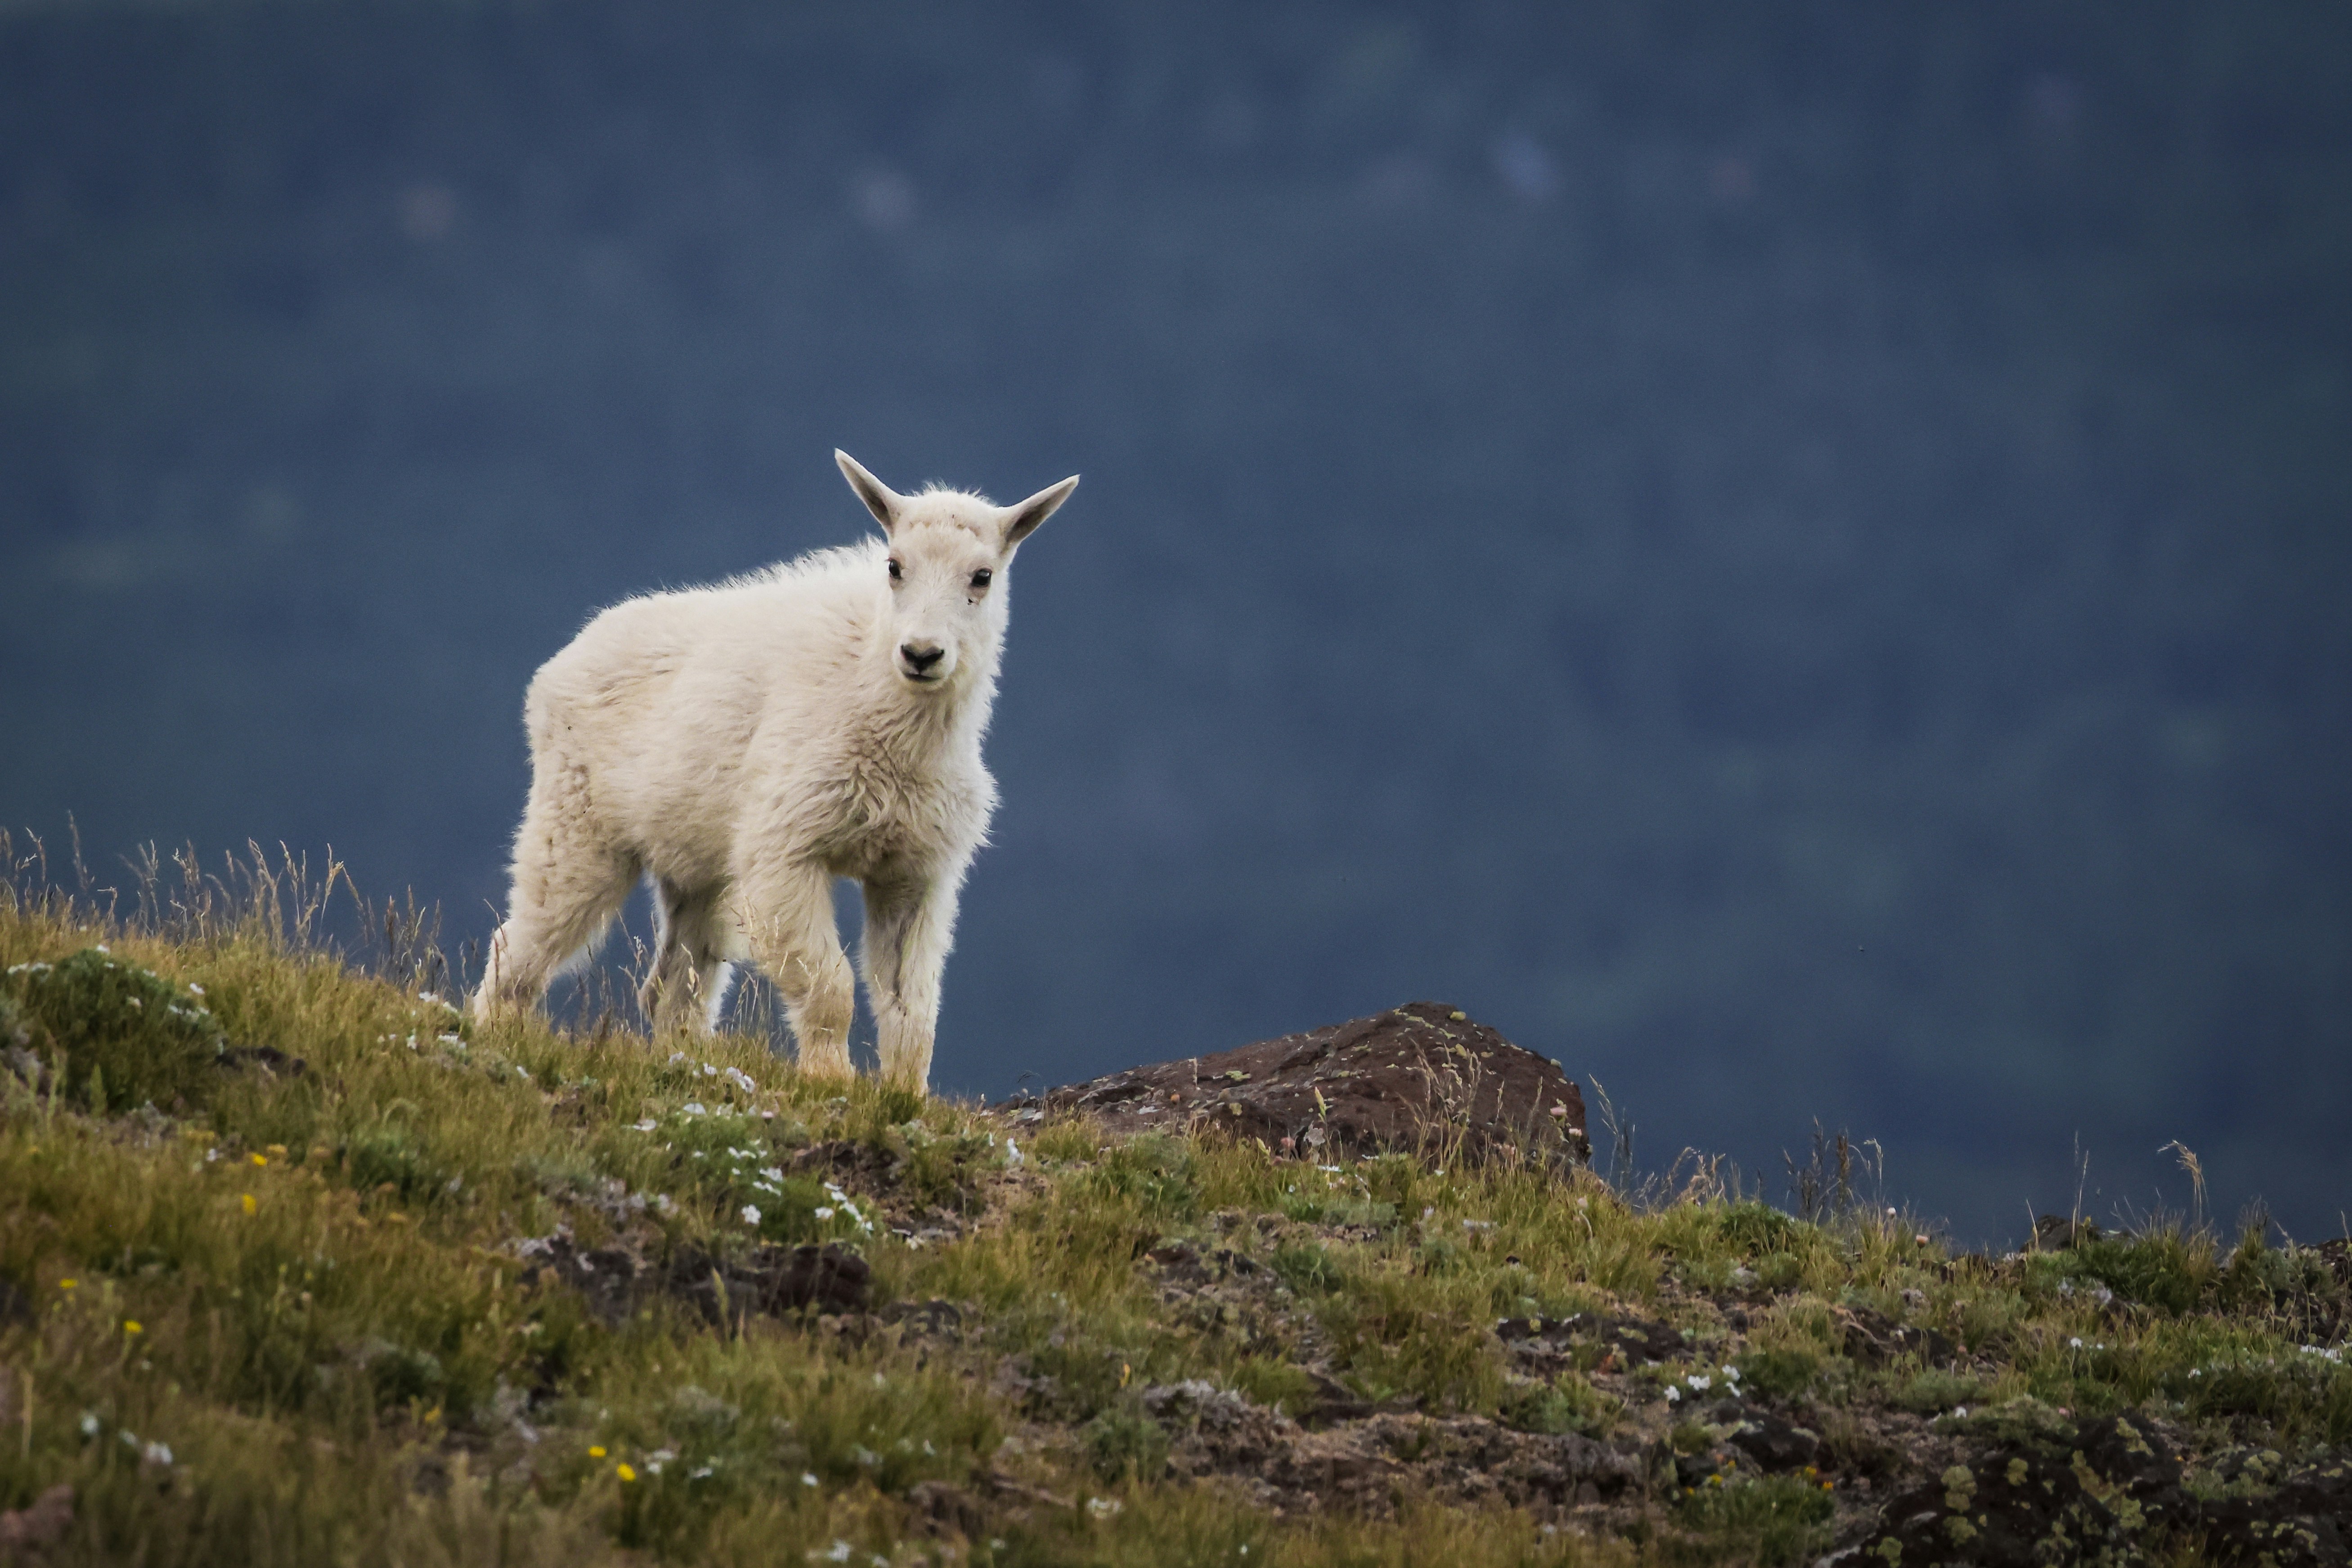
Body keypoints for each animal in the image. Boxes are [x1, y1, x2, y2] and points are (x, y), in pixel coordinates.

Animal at [471, 450, 1079, 1091]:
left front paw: (903, 1095)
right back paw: (498, 1031)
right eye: (894, 566)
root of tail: (559, 664)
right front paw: (829, 1080)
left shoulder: (913, 873)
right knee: (524, 940)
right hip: (578, 827)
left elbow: (910, 1005)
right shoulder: (787, 847)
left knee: (673, 983)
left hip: (699, 869)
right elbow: (830, 983)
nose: (920, 654)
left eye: (981, 575)